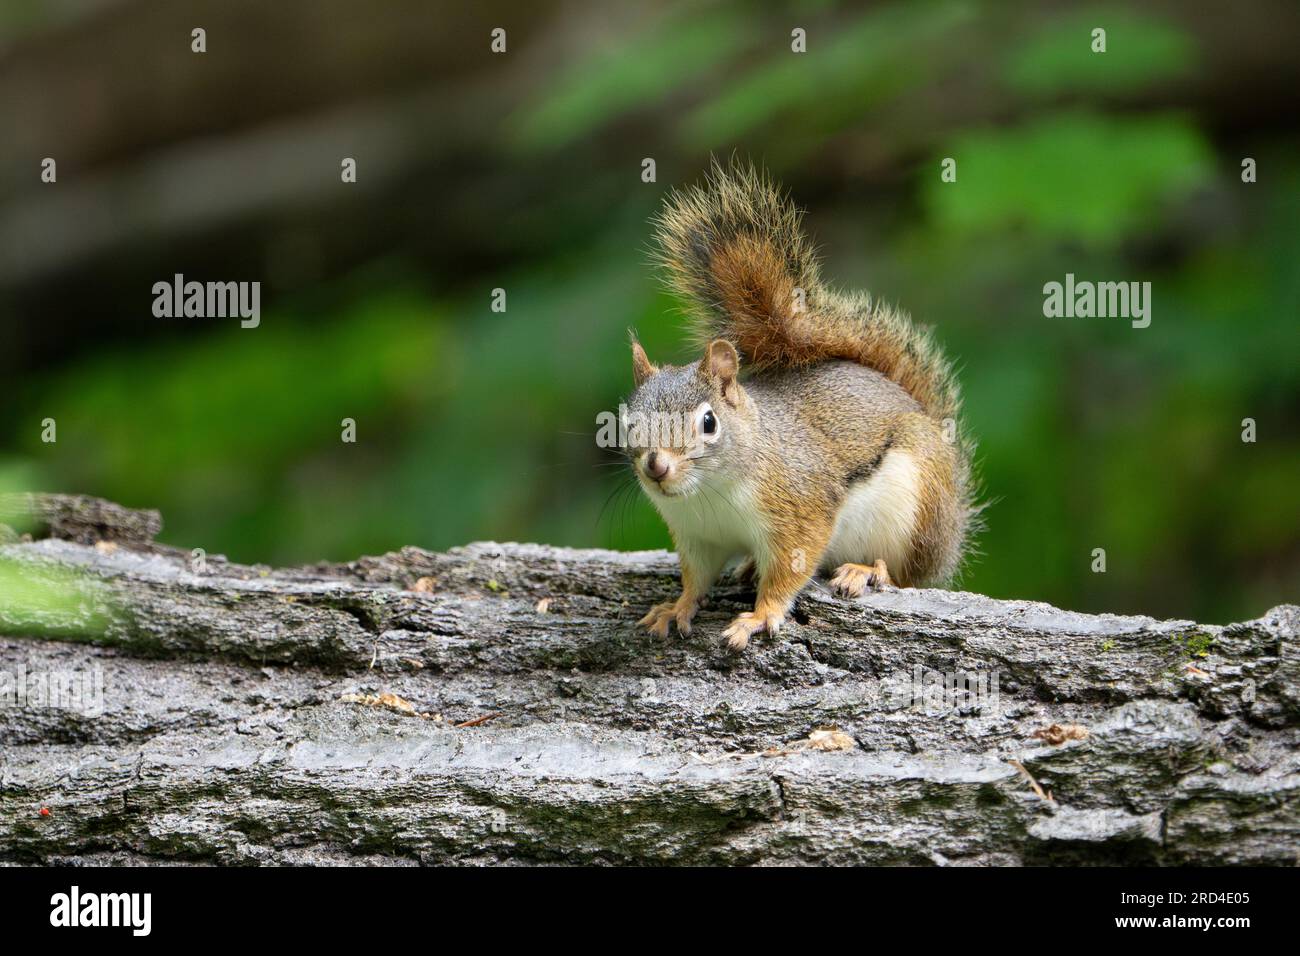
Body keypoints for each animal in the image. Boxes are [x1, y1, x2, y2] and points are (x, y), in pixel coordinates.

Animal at [624, 160, 979, 651]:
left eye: (709, 422)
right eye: (628, 420)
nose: (656, 466)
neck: (710, 493)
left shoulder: (799, 511)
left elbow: (788, 574)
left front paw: (759, 616)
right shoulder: (698, 537)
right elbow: (696, 579)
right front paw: (677, 607)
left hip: (917, 505)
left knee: (906, 573)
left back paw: (866, 571)